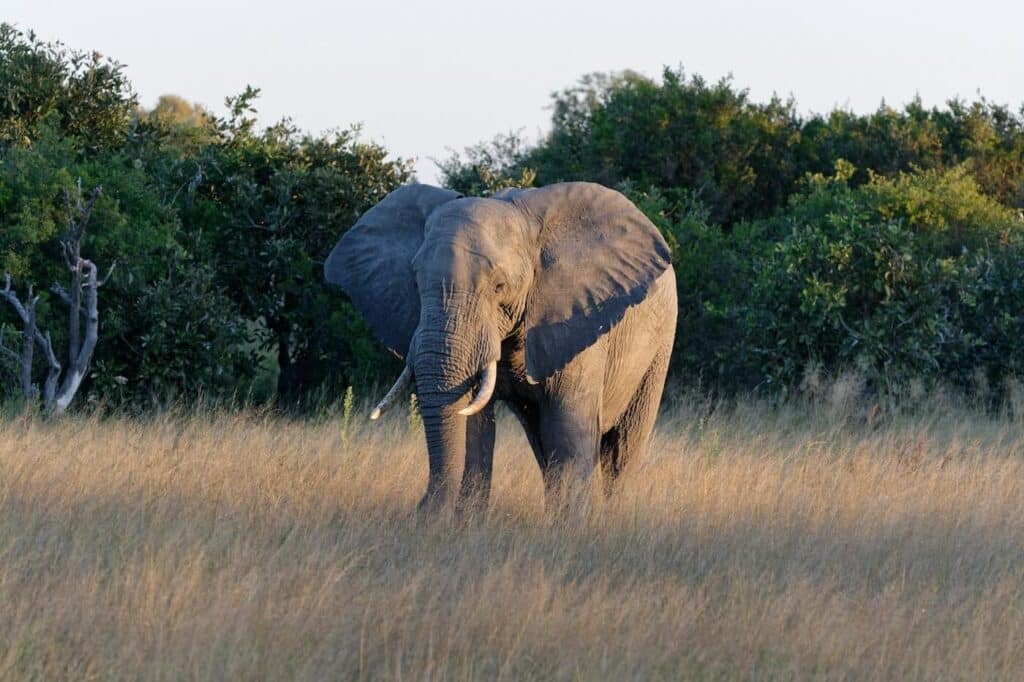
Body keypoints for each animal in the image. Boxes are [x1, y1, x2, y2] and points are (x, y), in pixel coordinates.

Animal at [325, 181, 677, 511]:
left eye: (499, 287)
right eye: (415, 282)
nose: (421, 505)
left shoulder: (579, 319)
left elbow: (568, 432)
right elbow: (474, 433)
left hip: (661, 341)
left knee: (621, 450)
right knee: (542, 443)